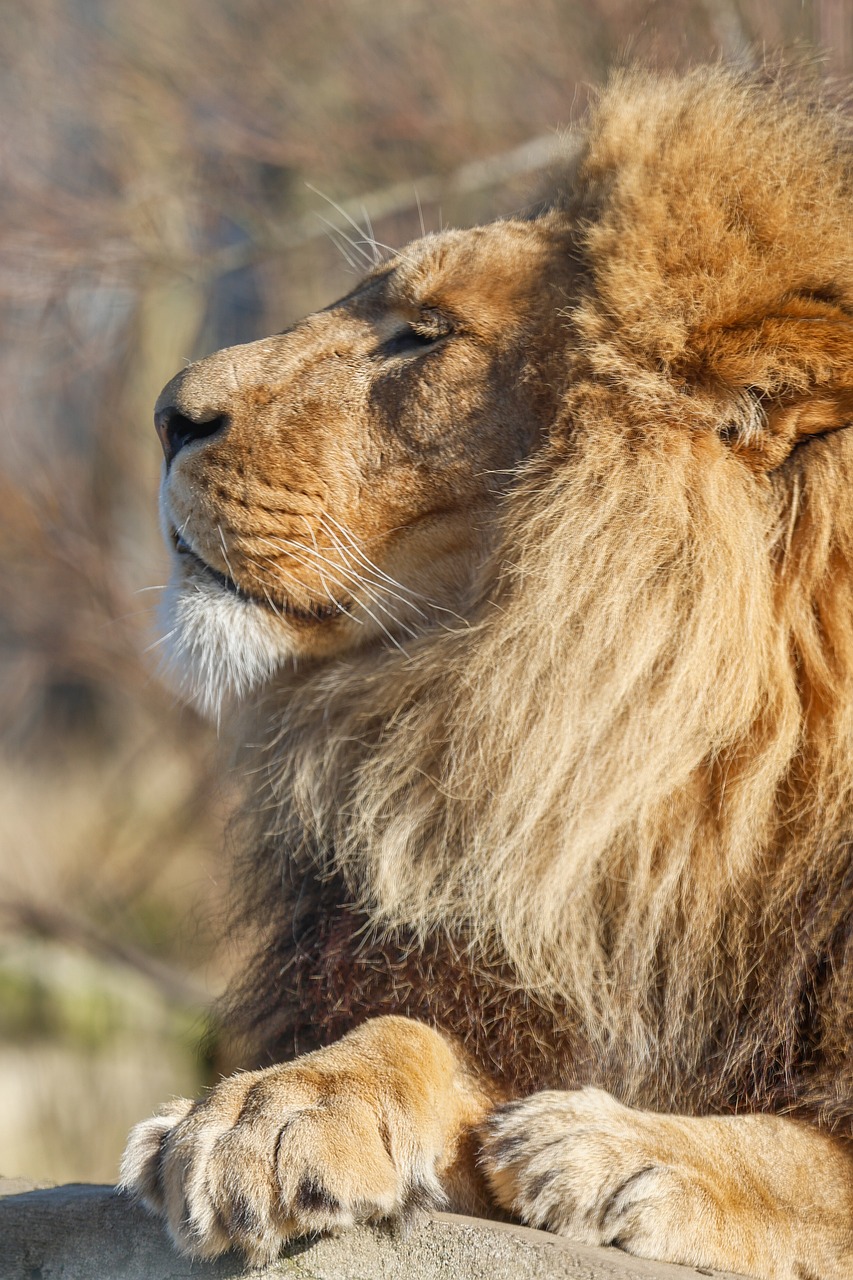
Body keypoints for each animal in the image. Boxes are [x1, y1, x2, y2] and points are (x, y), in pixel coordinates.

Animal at [121, 67, 853, 1279]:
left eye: (423, 337)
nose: (166, 413)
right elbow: (409, 1034)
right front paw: (263, 1107)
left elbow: (816, 1160)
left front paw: (617, 1145)